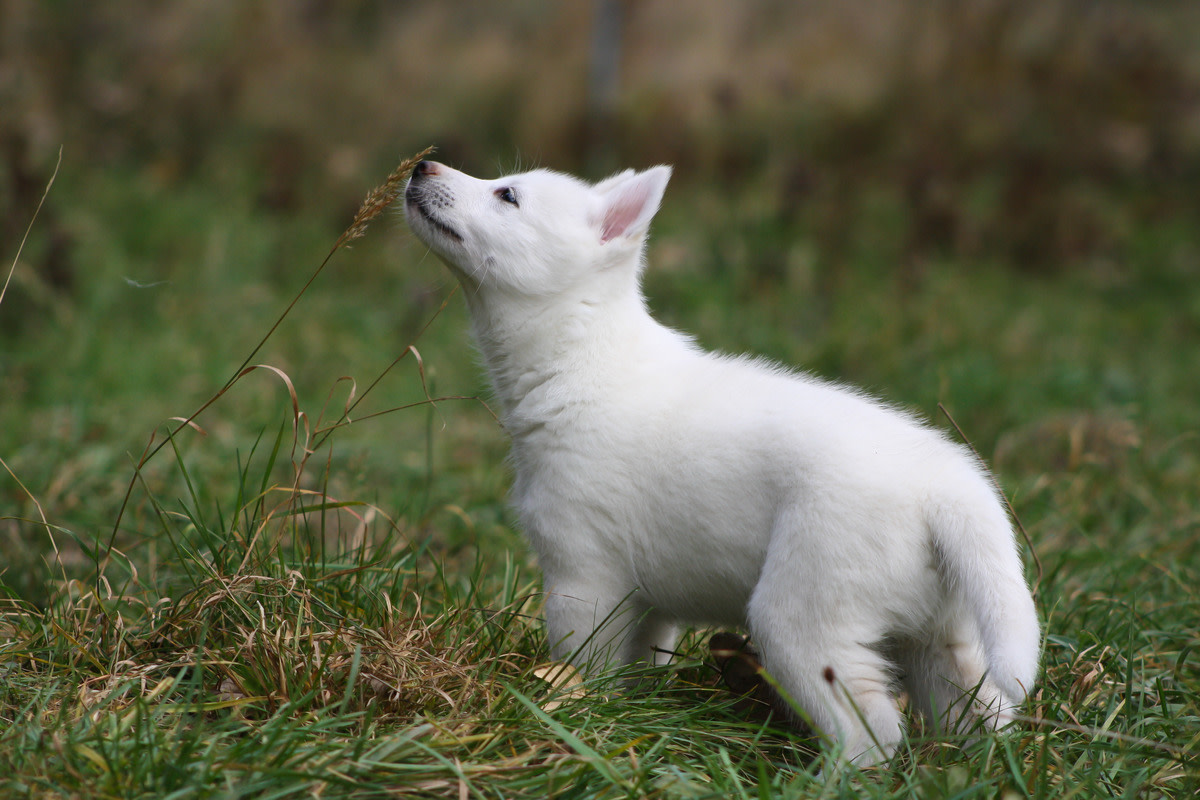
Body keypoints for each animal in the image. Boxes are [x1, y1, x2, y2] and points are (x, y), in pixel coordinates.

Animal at [404, 159, 1040, 766]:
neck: (581, 359)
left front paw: (580, 721)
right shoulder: (649, 598)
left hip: (802, 620)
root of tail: (950, 490)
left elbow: (588, 669)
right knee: (984, 711)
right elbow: (640, 665)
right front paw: (632, 719)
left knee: (873, 732)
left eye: (507, 195)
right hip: (943, 637)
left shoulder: (582, 578)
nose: (421, 167)